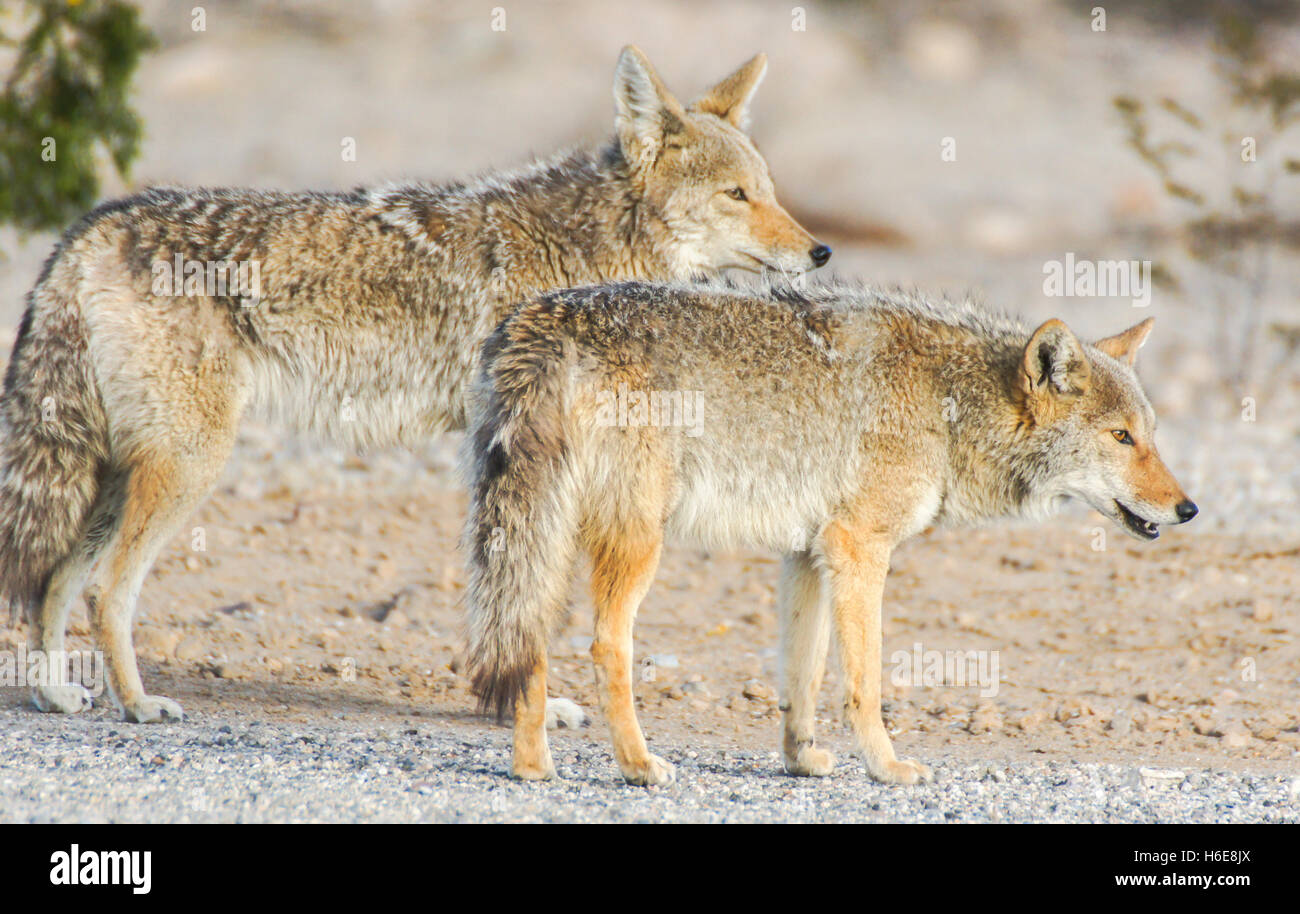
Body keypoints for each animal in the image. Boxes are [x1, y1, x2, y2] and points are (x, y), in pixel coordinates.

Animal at [0, 46, 829, 723]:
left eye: (768, 189)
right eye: (736, 196)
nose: (820, 252)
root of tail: (92, 225)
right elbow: (522, 583)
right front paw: (531, 703)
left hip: (124, 471)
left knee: (53, 578)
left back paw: (56, 694)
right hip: (185, 468)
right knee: (105, 589)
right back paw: (137, 704)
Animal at [463, 279, 1197, 785]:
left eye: (1152, 436)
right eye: (1121, 438)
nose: (1189, 508)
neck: (950, 408)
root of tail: (542, 320)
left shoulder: (806, 554)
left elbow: (804, 672)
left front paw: (802, 760)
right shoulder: (859, 547)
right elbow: (863, 681)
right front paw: (888, 768)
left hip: (542, 539)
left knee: (525, 639)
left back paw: (532, 766)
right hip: (638, 543)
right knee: (604, 644)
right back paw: (639, 765)